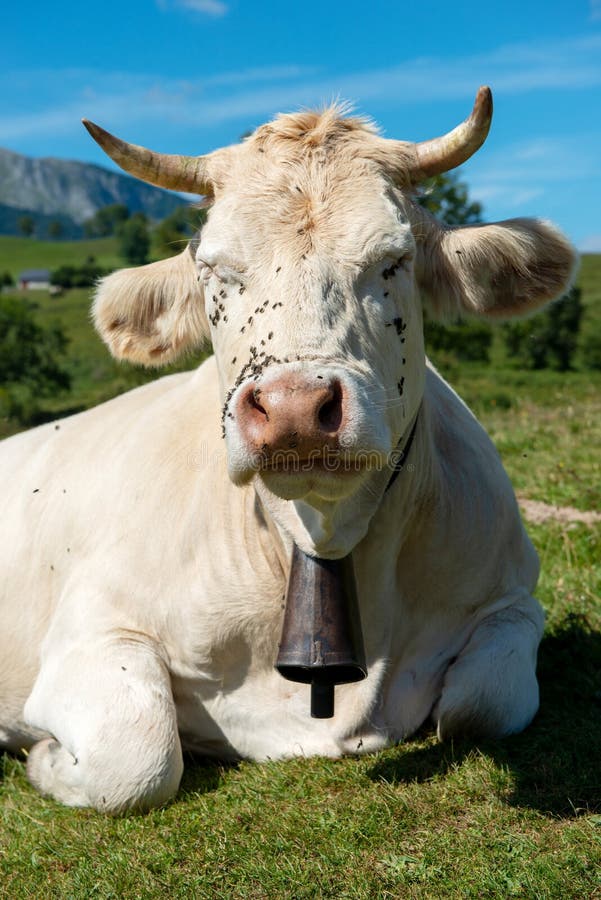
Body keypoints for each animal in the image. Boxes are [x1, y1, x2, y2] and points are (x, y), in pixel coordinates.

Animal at [0, 88, 576, 813]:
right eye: (215, 270)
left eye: (393, 260)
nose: (295, 409)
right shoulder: (92, 631)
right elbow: (135, 759)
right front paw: (45, 757)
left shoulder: (512, 598)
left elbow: (482, 704)